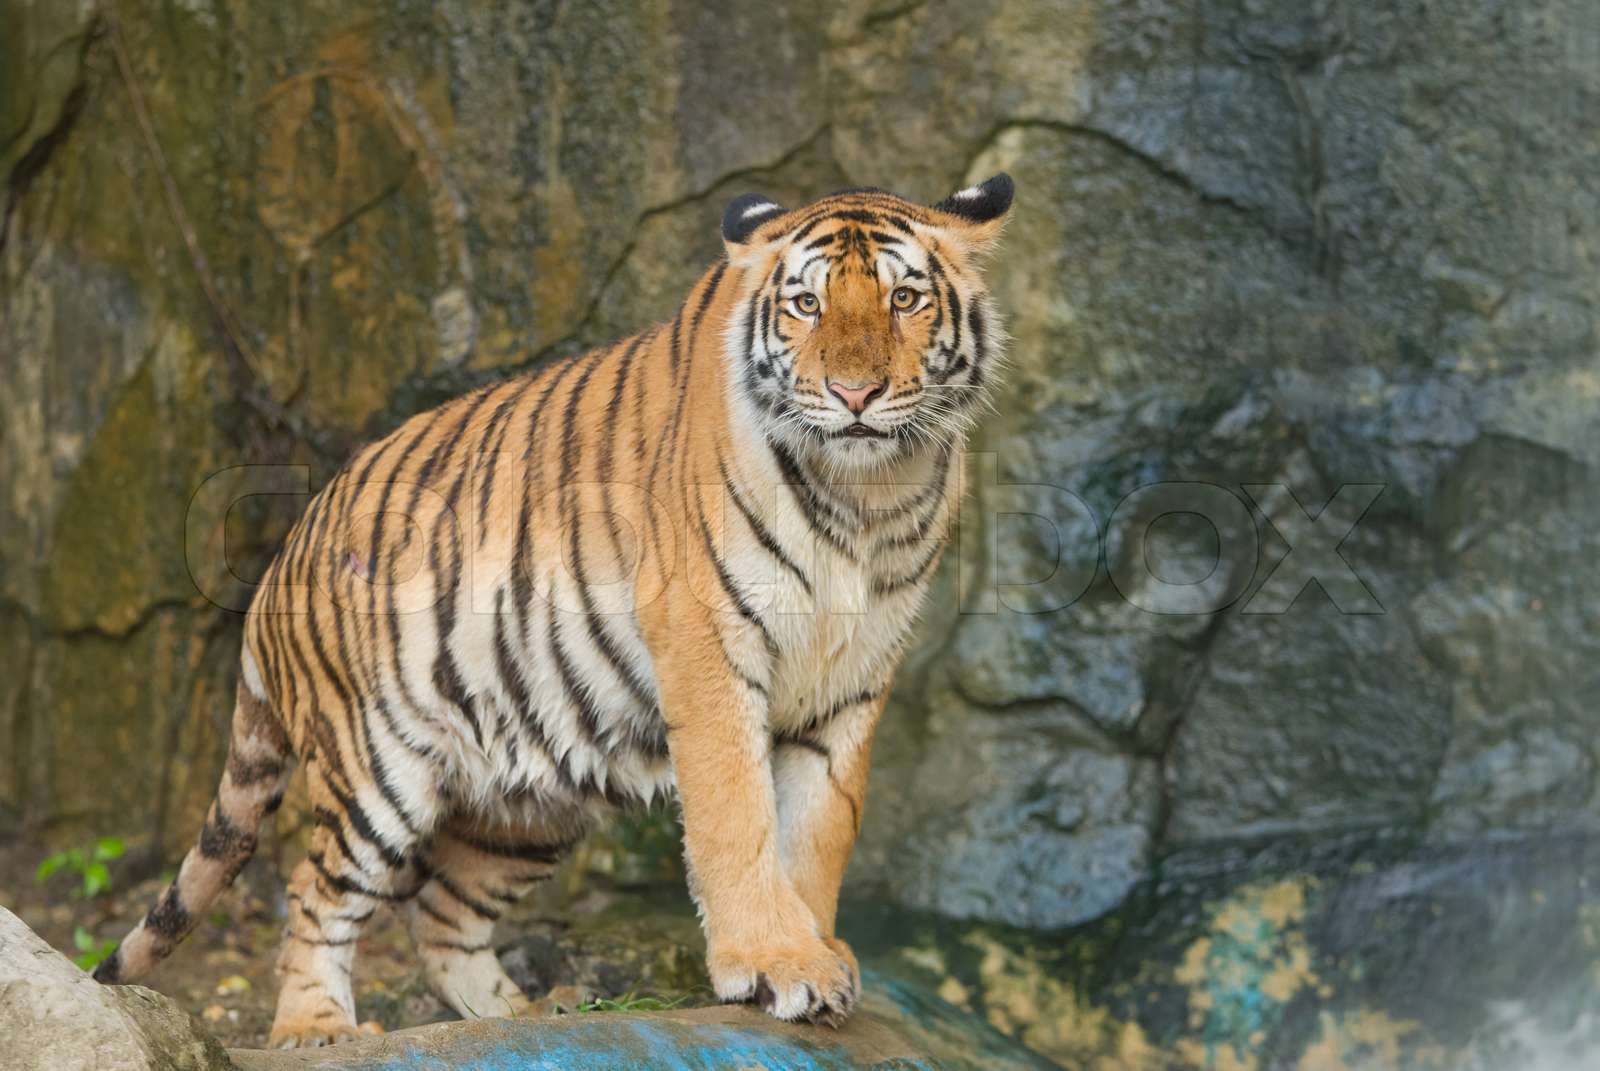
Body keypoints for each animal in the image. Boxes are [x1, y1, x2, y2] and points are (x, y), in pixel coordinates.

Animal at [94, 173, 1015, 1047]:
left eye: (905, 298)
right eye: (806, 305)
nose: (854, 393)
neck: (868, 497)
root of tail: (279, 565)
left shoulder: (852, 678)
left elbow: (819, 831)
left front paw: (815, 952)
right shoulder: (709, 646)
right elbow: (738, 813)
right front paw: (773, 962)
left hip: (528, 806)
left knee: (441, 914)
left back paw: (527, 1015)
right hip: (378, 771)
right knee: (315, 890)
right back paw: (314, 1026)